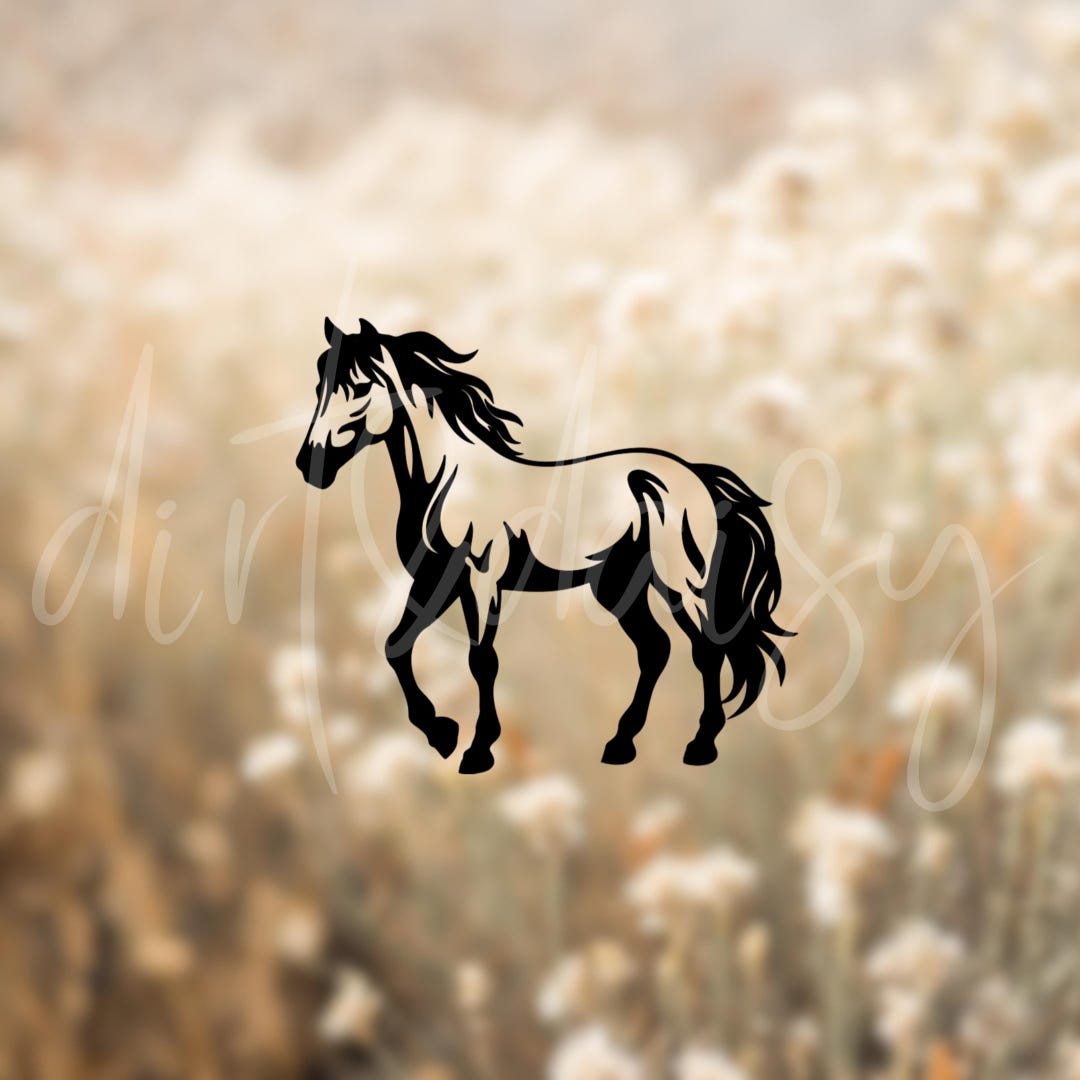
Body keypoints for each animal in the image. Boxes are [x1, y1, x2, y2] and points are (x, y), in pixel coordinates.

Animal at [297, 317, 791, 774]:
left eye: (360, 387)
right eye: (320, 384)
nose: (309, 464)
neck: (445, 485)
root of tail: (696, 475)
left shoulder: (480, 580)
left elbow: (481, 661)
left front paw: (477, 751)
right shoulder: (435, 579)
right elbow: (396, 646)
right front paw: (441, 733)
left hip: (682, 584)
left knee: (705, 651)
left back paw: (700, 747)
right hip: (619, 586)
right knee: (656, 650)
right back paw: (620, 745)